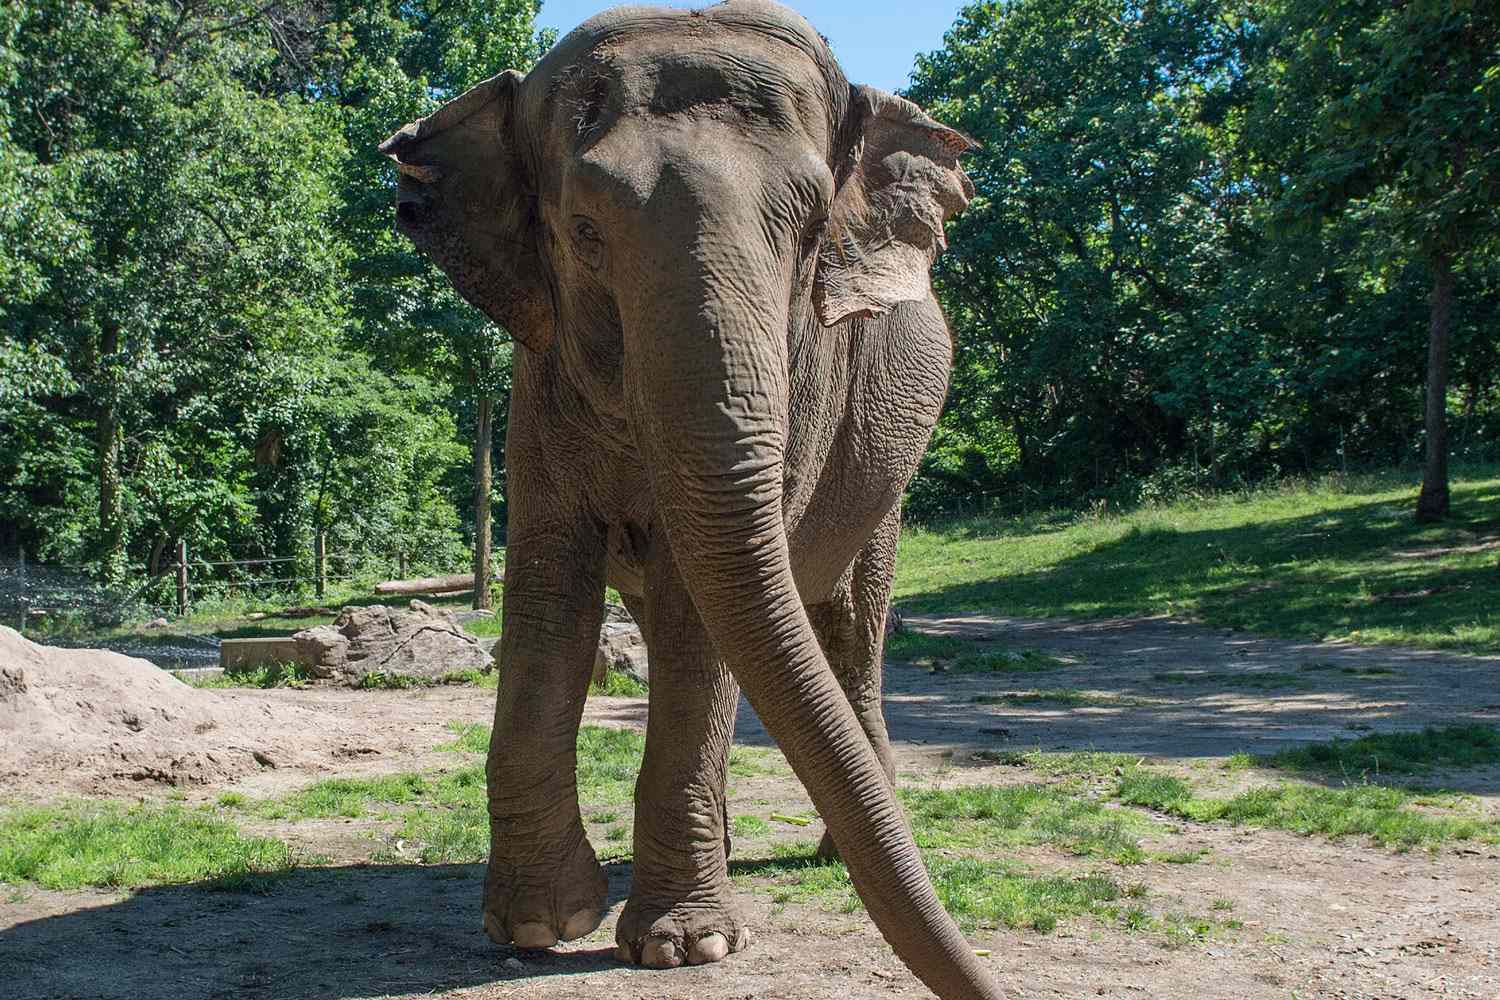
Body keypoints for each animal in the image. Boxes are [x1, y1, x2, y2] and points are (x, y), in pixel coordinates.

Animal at [379, 3, 998, 998]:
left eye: (813, 226)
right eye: (582, 230)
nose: (986, 981)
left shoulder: (808, 385)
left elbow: (698, 609)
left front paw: (685, 947)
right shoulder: (535, 382)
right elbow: (547, 594)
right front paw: (537, 926)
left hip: (885, 478)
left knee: (847, 630)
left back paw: (834, 853)